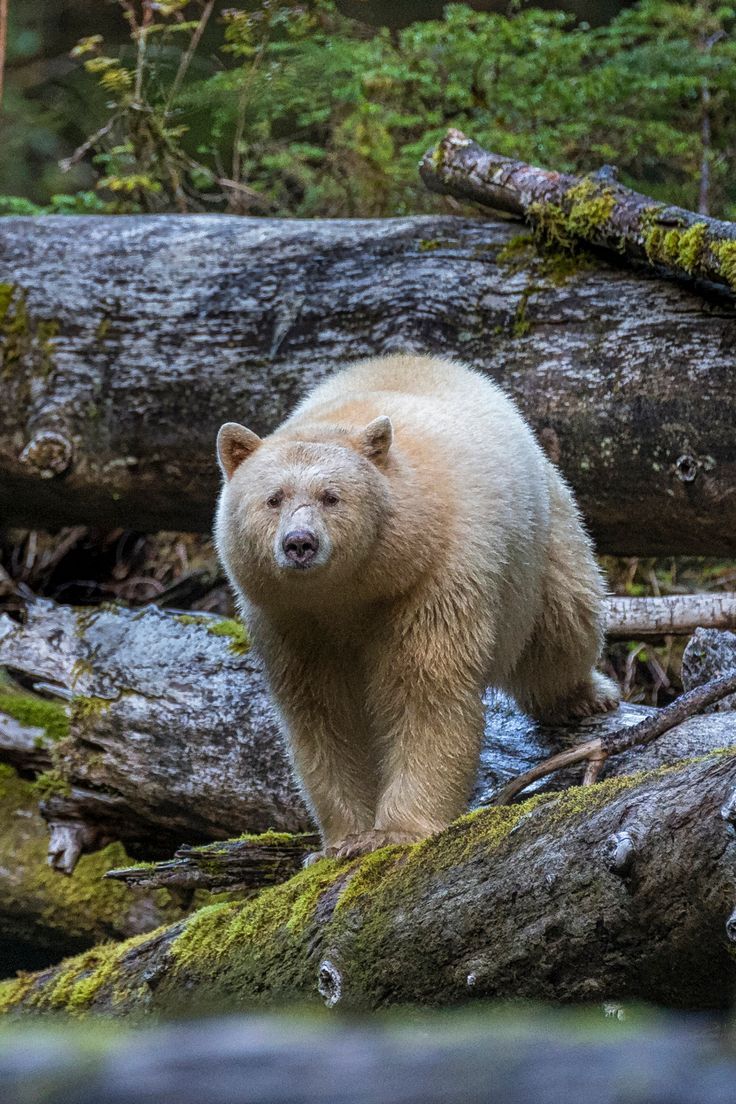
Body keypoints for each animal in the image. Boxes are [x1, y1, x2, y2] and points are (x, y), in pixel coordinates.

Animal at [214, 354, 619, 861]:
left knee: (565, 623)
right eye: (273, 498)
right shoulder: (289, 617)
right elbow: (322, 710)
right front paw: (340, 842)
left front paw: (397, 831)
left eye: (332, 497)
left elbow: (423, 689)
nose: (300, 543)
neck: (354, 590)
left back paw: (583, 695)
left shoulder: (432, 578)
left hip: (541, 542)